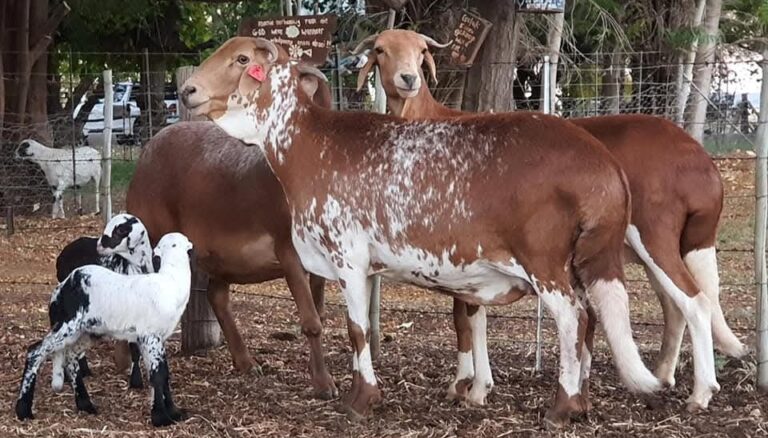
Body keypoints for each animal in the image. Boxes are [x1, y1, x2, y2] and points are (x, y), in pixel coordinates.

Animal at [15, 232, 193, 427]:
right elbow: (158, 375)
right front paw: (161, 418)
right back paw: (23, 410)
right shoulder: (150, 335)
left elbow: (163, 374)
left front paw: (174, 412)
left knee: (71, 358)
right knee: (35, 352)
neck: (171, 281)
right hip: (68, 325)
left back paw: (86, 405)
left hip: (87, 332)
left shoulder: (158, 338)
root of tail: (60, 290)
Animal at [53, 213, 154, 390]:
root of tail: (62, 255)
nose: (99, 246)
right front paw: (136, 381)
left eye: (121, 230)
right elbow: (134, 347)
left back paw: (84, 371)